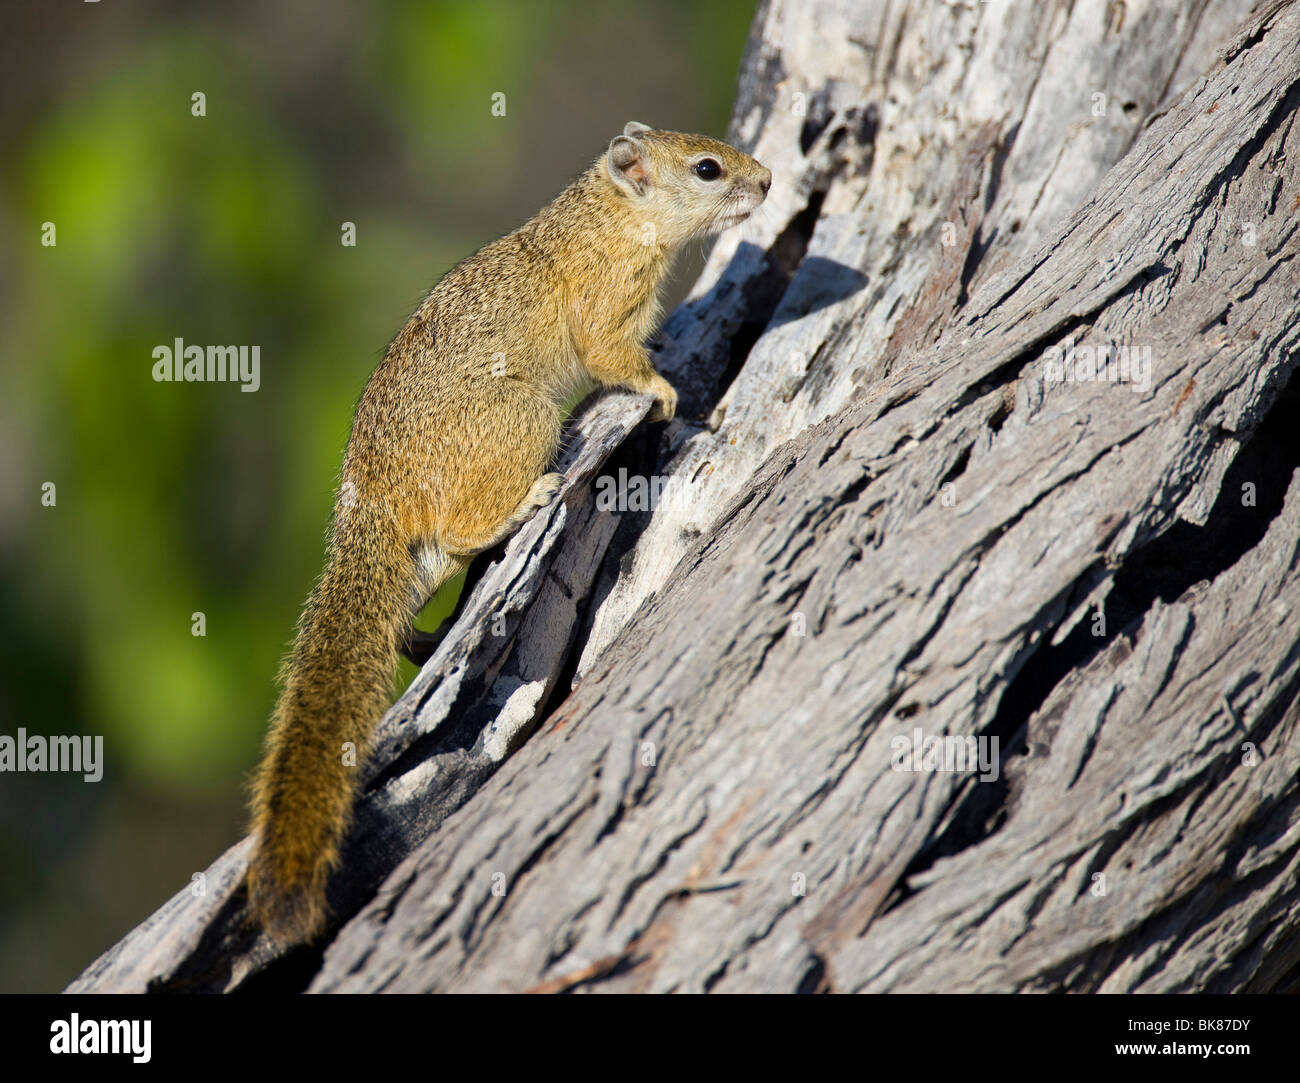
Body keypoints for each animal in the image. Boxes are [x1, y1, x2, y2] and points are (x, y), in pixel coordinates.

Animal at [247, 122, 771, 944]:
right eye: (708, 168)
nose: (771, 181)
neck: (606, 218)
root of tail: (370, 501)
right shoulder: (603, 307)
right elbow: (614, 357)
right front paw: (659, 389)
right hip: (519, 419)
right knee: (465, 531)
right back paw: (530, 502)